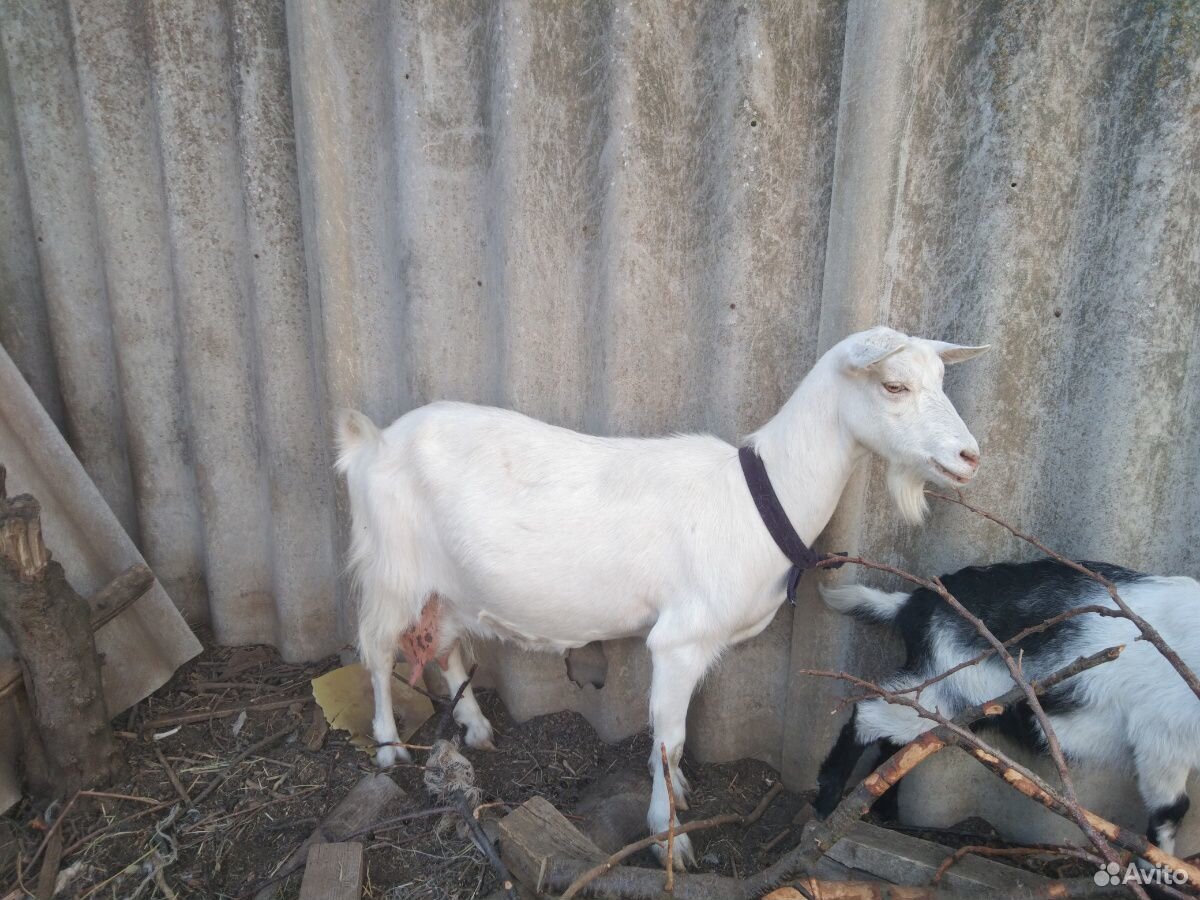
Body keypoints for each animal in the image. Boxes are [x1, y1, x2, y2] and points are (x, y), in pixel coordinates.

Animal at [335, 326, 987, 867]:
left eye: (942, 379)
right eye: (894, 384)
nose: (969, 456)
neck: (757, 497)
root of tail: (372, 444)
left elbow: (673, 736)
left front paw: (675, 797)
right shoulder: (679, 639)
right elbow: (671, 740)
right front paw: (671, 841)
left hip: (447, 586)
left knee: (444, 648)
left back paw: (475, 729)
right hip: (391, 568)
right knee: (375, 651)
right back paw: (389, 748)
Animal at [815, 559, 1200, 855]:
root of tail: (914, 603)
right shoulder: (1162, 735)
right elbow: (1171, 810)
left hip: (942, 701)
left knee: (901, 744)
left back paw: (883, 808)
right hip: (943, 690)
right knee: (868, 715)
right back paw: (827, 802)